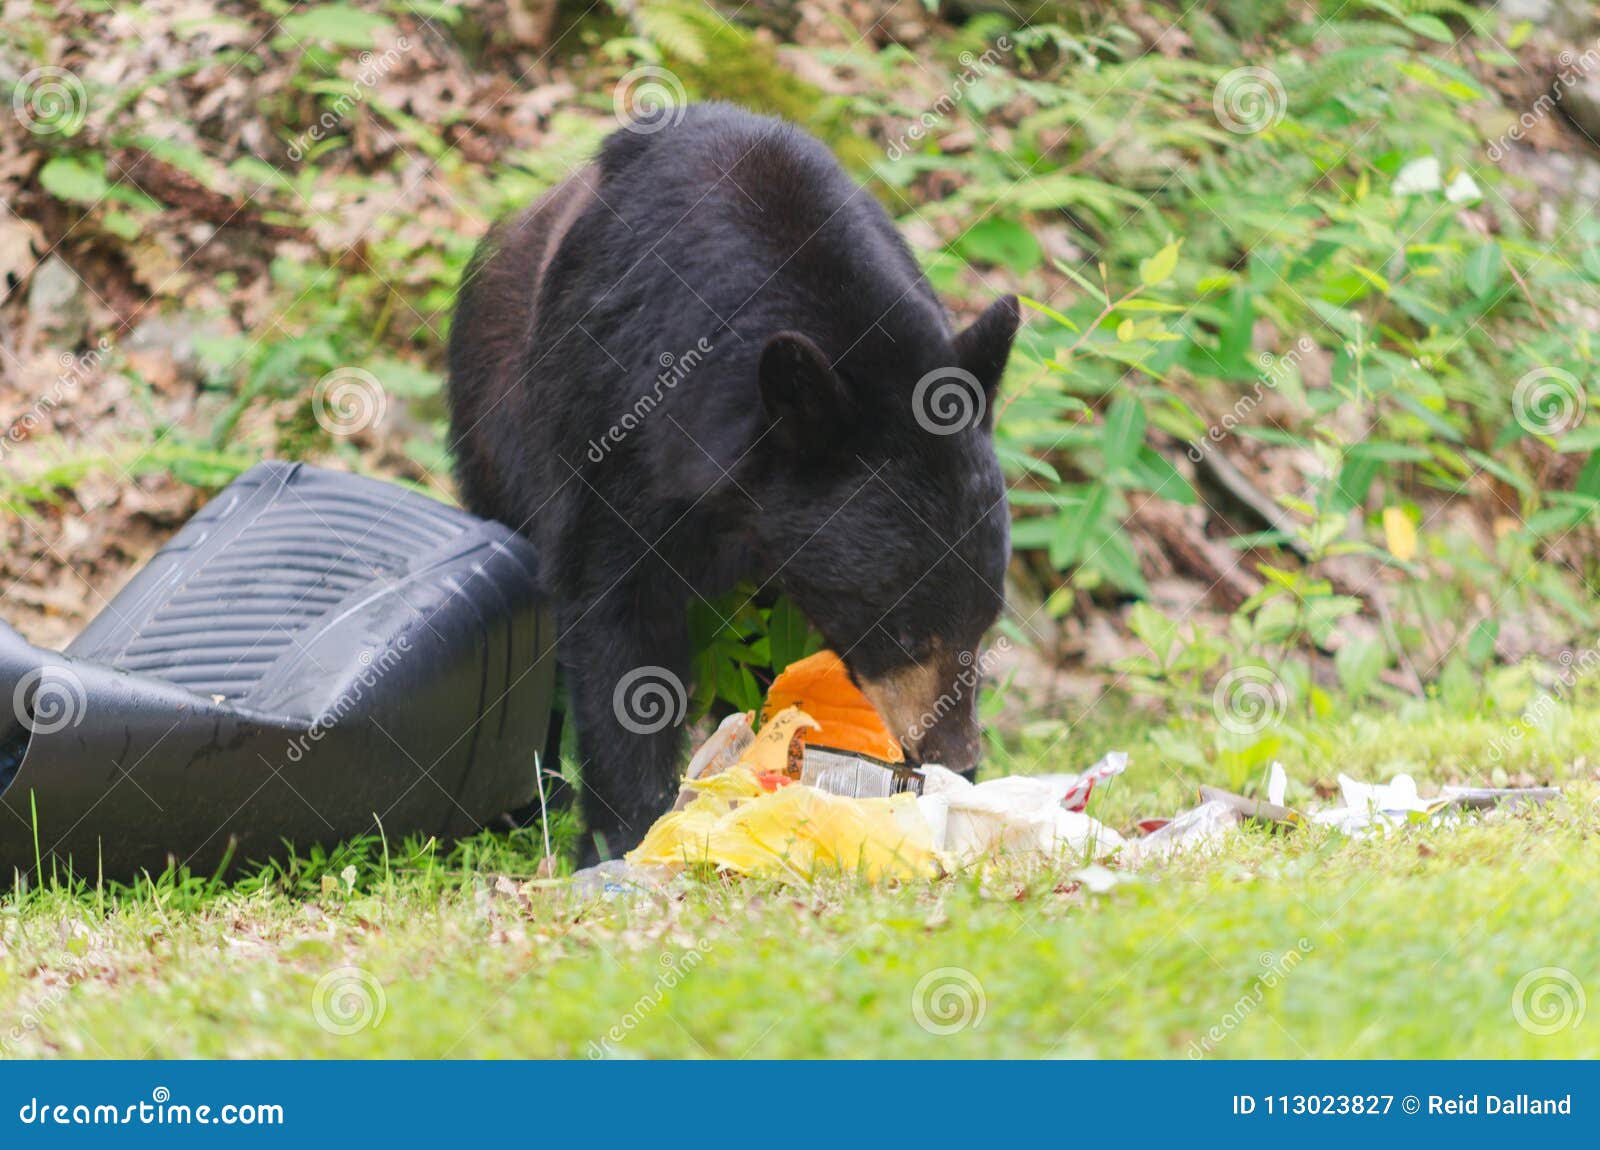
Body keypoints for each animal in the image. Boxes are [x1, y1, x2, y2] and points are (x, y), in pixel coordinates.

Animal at [448, 102, 1018, 861]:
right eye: (900, 630)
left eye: (985, 621)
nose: (956, 755)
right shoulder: (612, 427)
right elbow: (615, 615)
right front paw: (626, 832)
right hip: (493, 422)